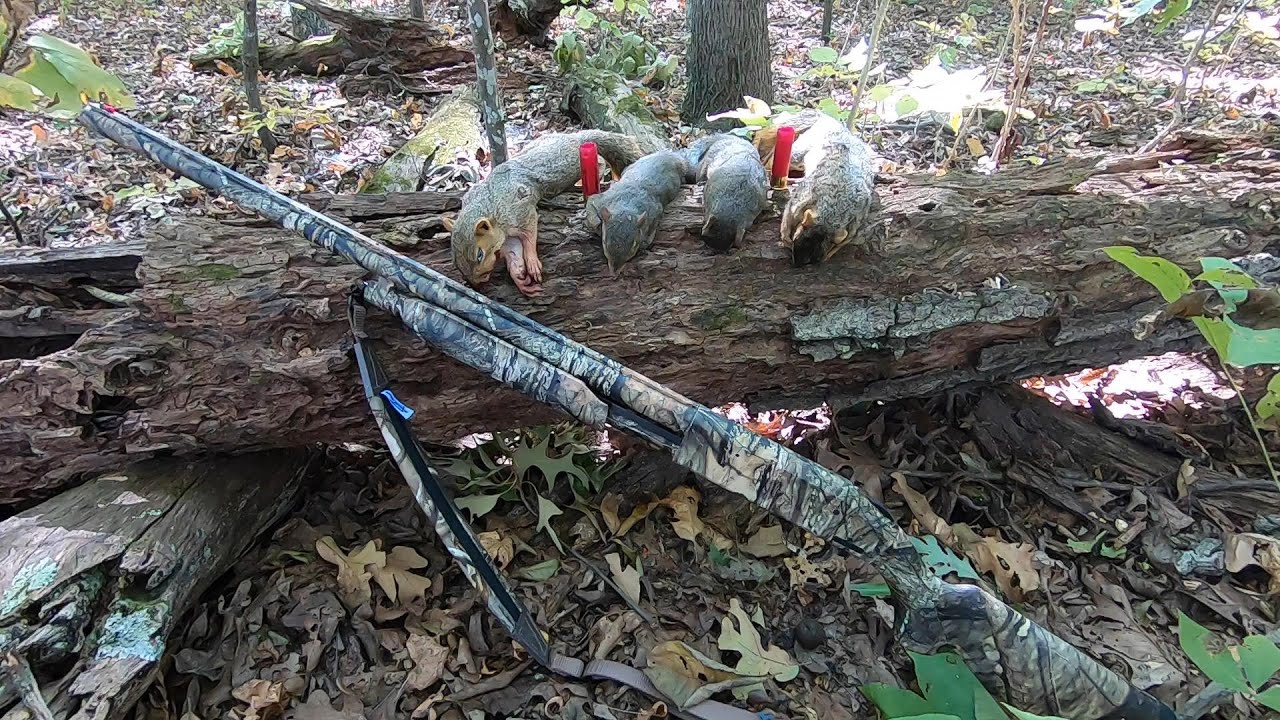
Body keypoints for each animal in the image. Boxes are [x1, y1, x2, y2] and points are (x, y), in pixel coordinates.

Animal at [443, 130, 645, 296]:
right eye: (454, 258)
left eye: (479, 255)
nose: (477, 284)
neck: (490, 207)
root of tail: (576, 137)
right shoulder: (505, 236)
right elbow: (513, 252)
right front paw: (519, 277)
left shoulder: (519, 211)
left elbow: (529, 235)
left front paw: (532, 261)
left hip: (572, 160)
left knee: (599, 161)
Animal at [752, 109, 878, 266]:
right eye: (799, 236)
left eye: (815, 256)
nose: (800, 263)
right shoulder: (802, 198)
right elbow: (789, 213)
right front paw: (785, 236)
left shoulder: (857, 219)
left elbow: (843, 240)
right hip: (799, 152)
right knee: (776, 160)